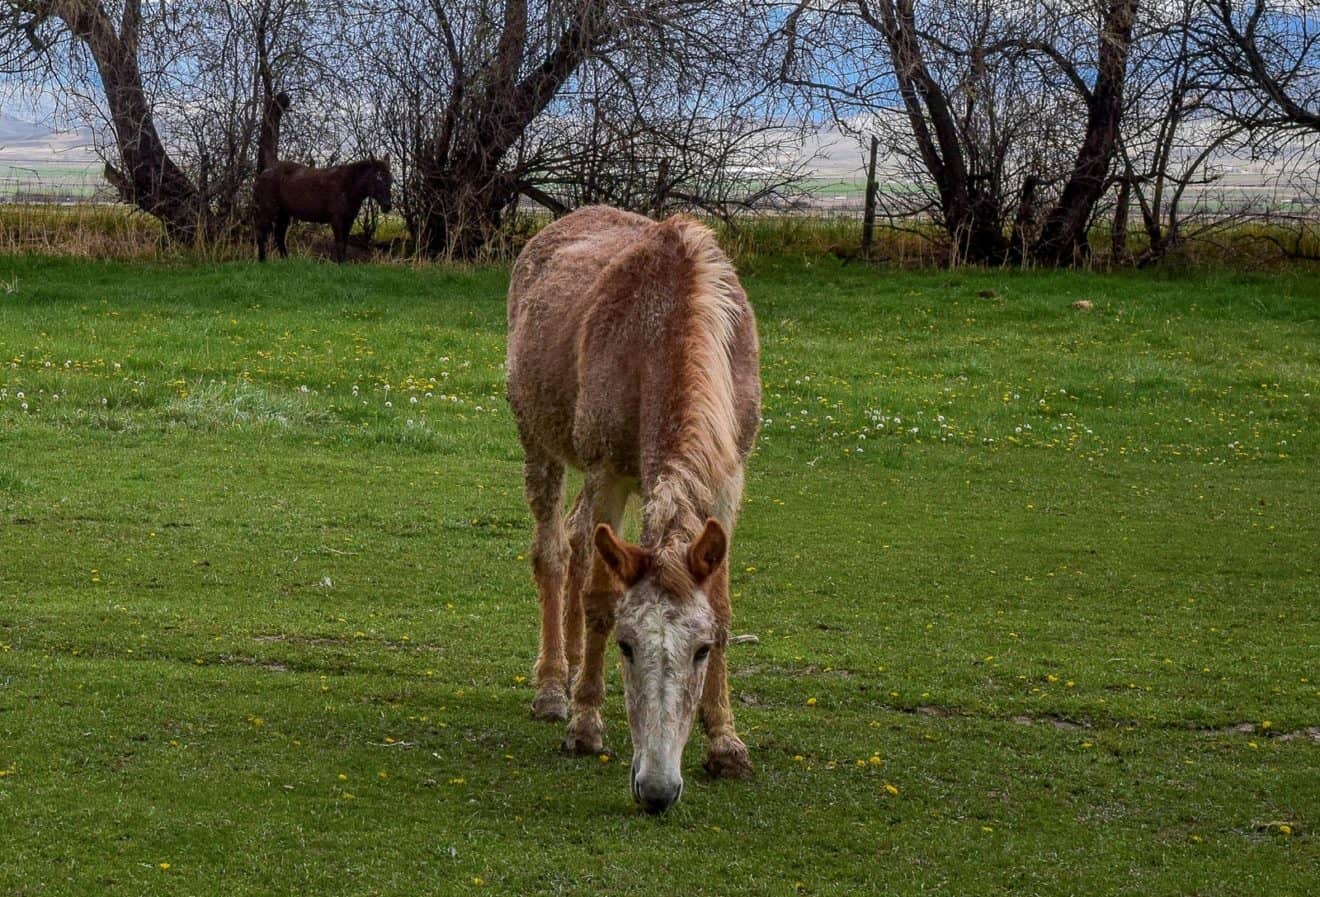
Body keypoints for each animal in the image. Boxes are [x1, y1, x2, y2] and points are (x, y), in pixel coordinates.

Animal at [253, 156, 392, 263]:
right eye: (378, 178)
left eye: (391, 179)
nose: (387, 205)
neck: (349, 186)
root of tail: (261, 175)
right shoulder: (337, 219)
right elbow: (339, 243)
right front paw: (341, 264)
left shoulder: (349, 219)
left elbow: (345, 242)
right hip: (268, 209)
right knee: (261, 232)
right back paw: (262, 260)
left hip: (284, 213)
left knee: (279, 236)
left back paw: (286, 260)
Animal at [506, 205, 761, 813]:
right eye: (627, 645)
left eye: (699, 650)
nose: (657, 790)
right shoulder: (608, 470)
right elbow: (600, 599)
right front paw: (584, 724)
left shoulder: (728, 480)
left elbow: (721, 606)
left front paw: (726, 744)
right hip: (539, 441)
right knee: (554, 553)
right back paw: (554, 686)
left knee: (580, 541)